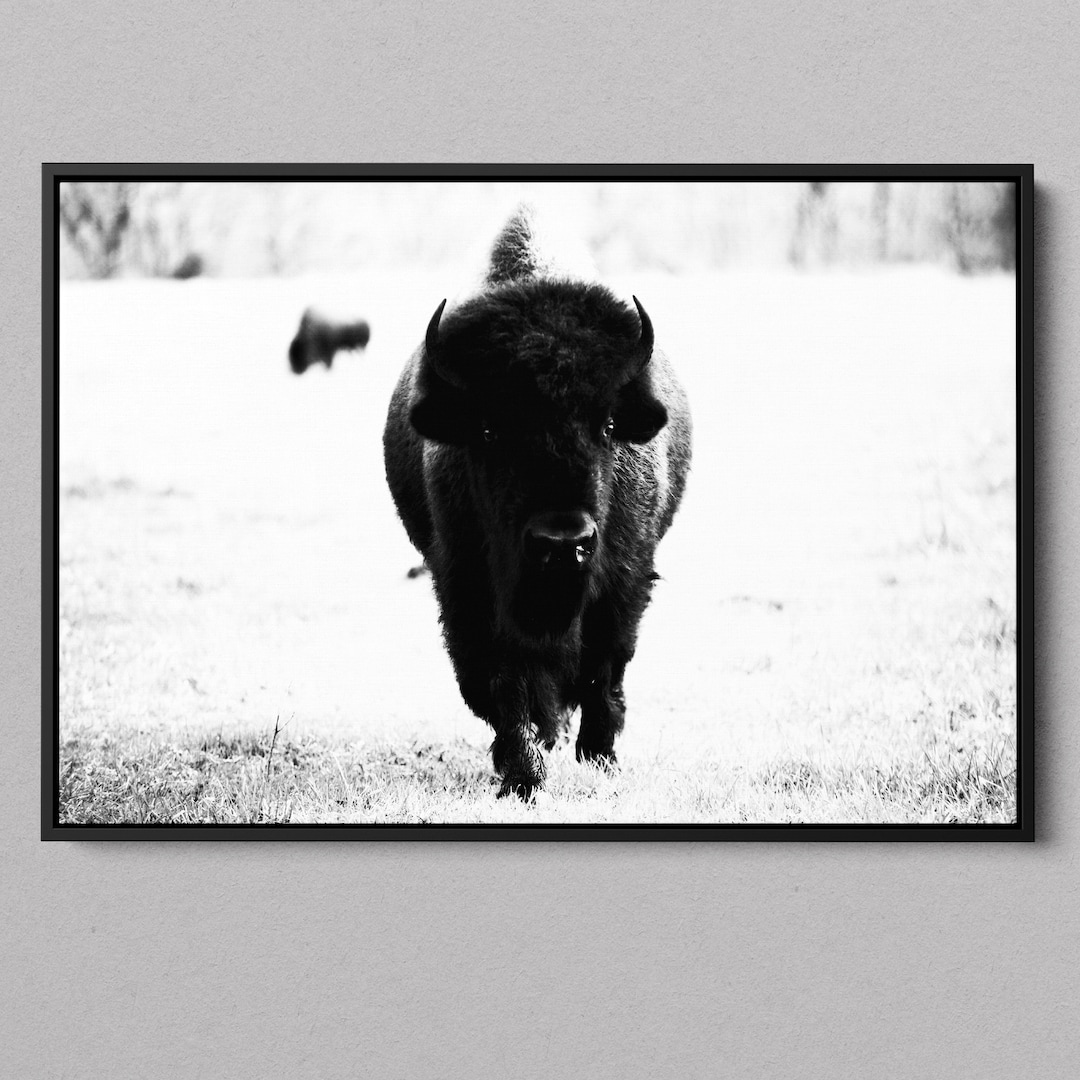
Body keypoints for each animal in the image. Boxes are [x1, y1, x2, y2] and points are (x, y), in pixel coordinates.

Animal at [383, 207, 692, 798]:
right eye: (488, 430)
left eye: (608, 425)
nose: (562, 540)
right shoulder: (470, 589)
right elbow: (505, 681)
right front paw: (522, 775)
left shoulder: (623, 582)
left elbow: (603, 671)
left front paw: (599, 759)